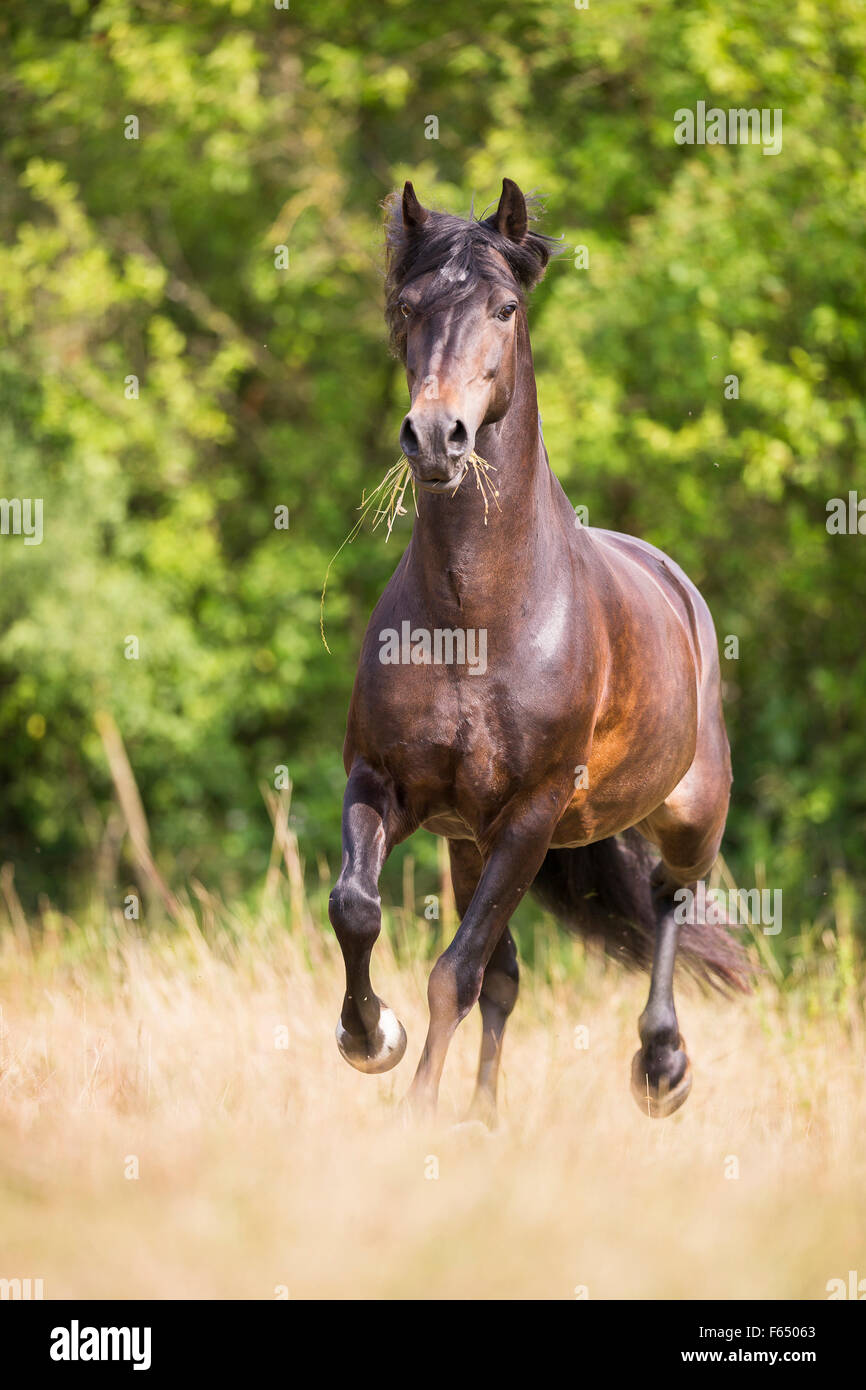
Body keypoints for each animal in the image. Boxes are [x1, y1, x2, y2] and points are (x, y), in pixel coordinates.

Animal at [328, 178, 749, 1124]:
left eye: (506, 307)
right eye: (405, 307)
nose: (435, 435)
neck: (477, 618)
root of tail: (678, 587)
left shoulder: (530, 814)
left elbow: (453, 973)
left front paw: (417, 1111)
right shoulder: (385, 783)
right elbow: (358, 909)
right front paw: (370, 1039)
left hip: (687, 814)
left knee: (667, 900)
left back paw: (662, 1067)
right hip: (468, 840)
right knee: (508, 978)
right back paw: (488, 1116)